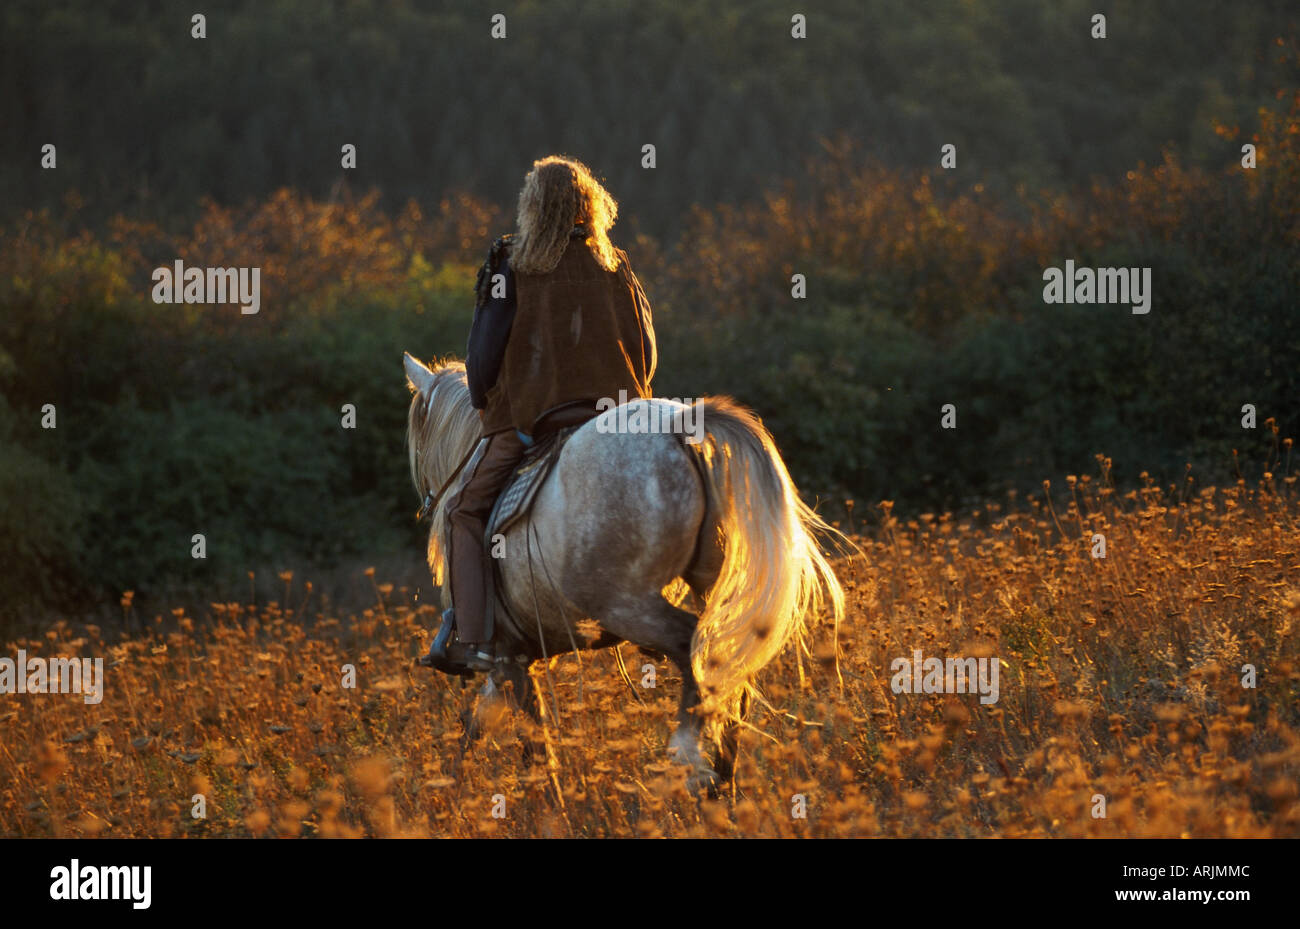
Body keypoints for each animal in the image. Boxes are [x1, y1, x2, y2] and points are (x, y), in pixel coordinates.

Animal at [403, 353, 845, 792]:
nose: (428, 501)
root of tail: (682, 426)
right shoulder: (512, 660)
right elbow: (481, 729)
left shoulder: (505, 657)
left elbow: (530, 742)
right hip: (709, 592)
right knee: (727, 677)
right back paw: (722, 781)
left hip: (628, 607)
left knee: (692, 649)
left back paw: (688, 756)